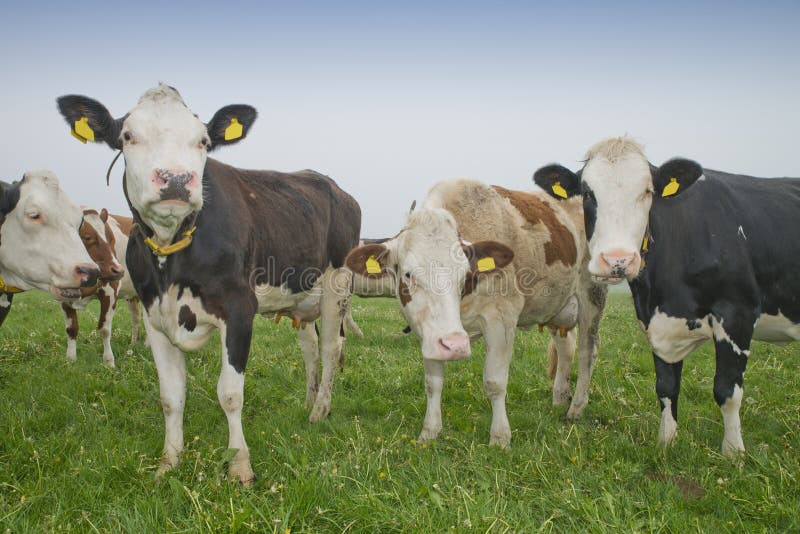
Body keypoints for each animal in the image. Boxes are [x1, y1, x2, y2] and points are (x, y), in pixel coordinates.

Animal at [60, 209, 144, 367]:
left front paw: (109, 362)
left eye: (111, 238)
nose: (118, 270)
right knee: (136, 318)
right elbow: (71, 329)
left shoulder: (111, 290)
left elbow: (104, 329)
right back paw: (134, 344)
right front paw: (70, 360)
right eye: (87, 237)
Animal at [345, 179, 607, 446]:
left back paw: (576, 408)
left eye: (465, 275)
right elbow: (432, 383)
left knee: (587, 350)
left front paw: (500, 437)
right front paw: (429, 432)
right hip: (557, 306)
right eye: (408, 274)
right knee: (566, 348)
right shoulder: (430, 332)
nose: (456, 345)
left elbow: (495, 382)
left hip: (592, 294)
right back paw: (559, 399)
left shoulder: (501, 320)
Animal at [534, 136, 800, 458]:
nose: (617, 260)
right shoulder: (655, 320)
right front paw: (666, 442)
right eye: (587, 193)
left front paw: (733, 453)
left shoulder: (738, 313)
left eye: (648, 191)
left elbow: (727, 390)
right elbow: (666, 386)